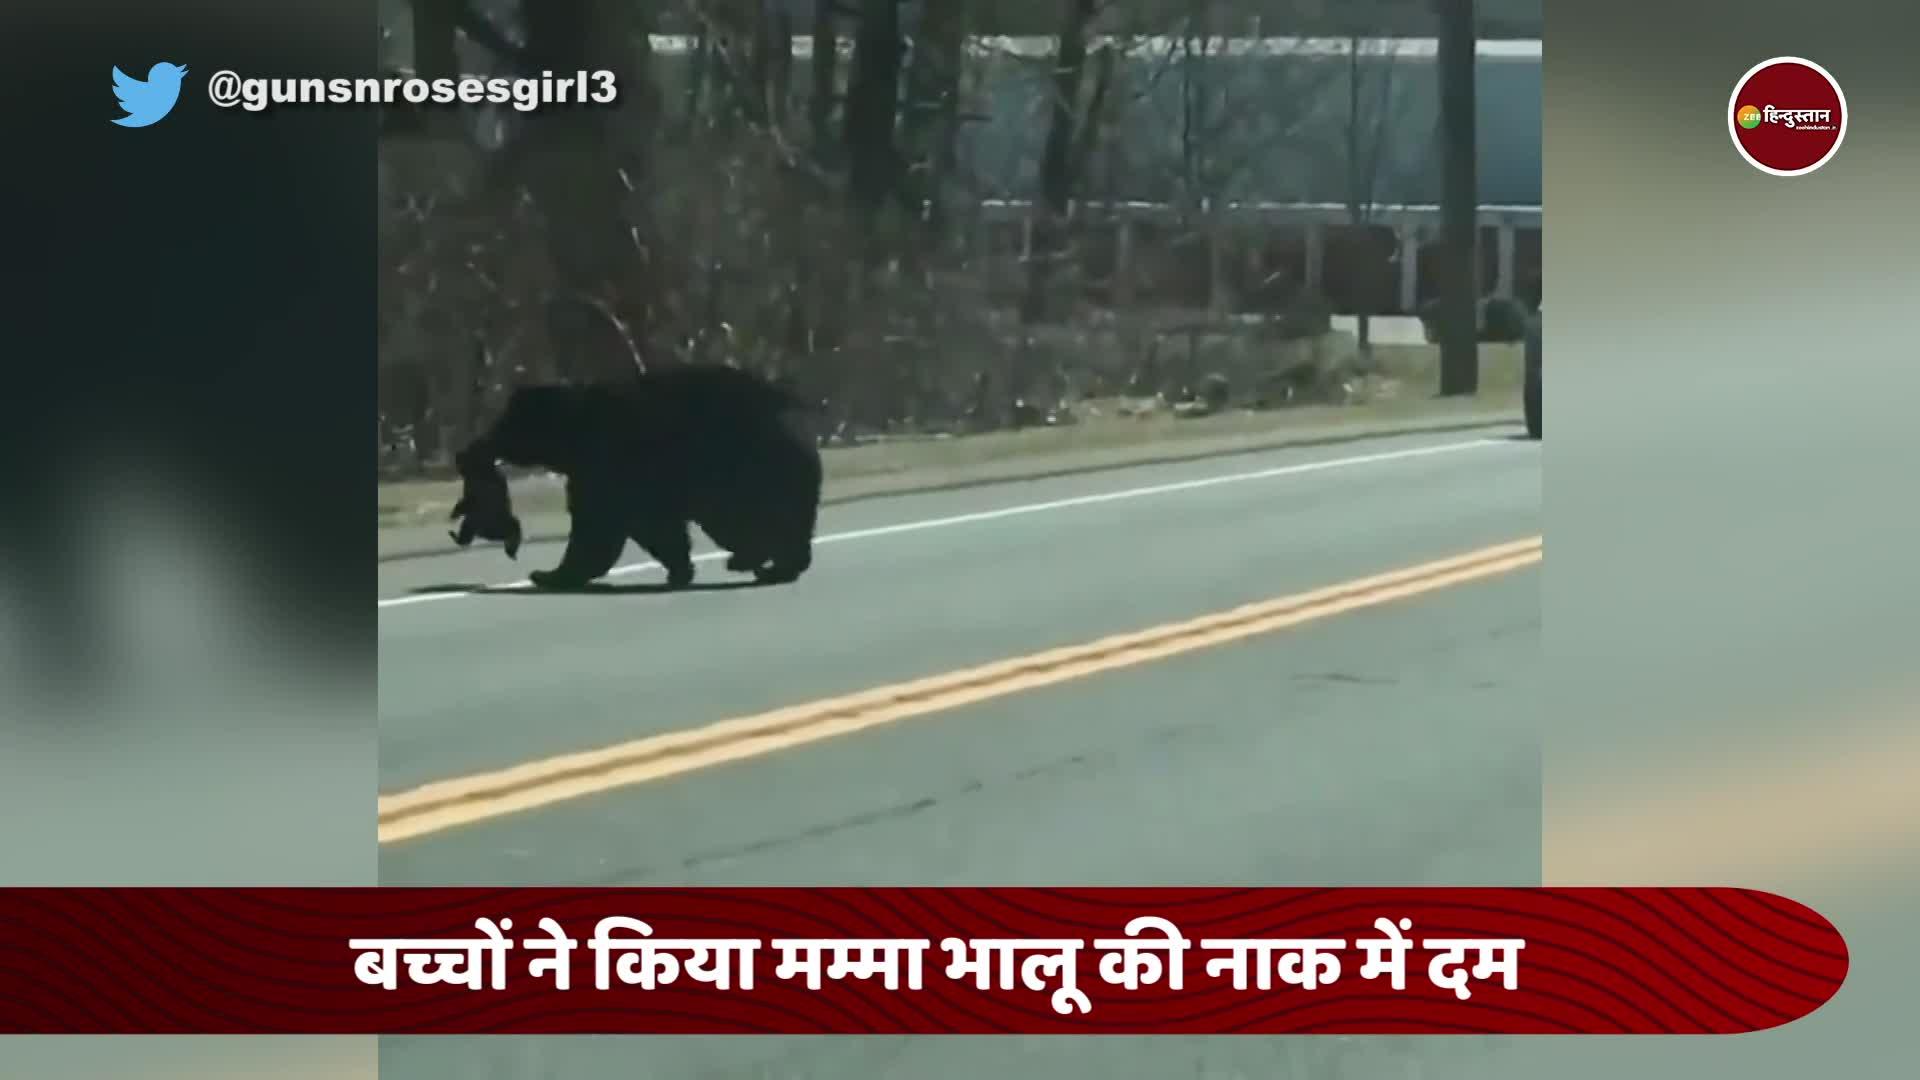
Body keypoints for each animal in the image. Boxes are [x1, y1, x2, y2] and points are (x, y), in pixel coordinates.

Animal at [460, 365, 822, 591]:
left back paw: (762, 562)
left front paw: (549, 574)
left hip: (747, 467)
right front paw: (680, 570)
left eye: (506, 423)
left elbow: (599, 527)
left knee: (749, 519)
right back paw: (772, 563)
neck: (576, 431)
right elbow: (651, 527)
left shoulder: (611, 465)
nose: (475, 446)